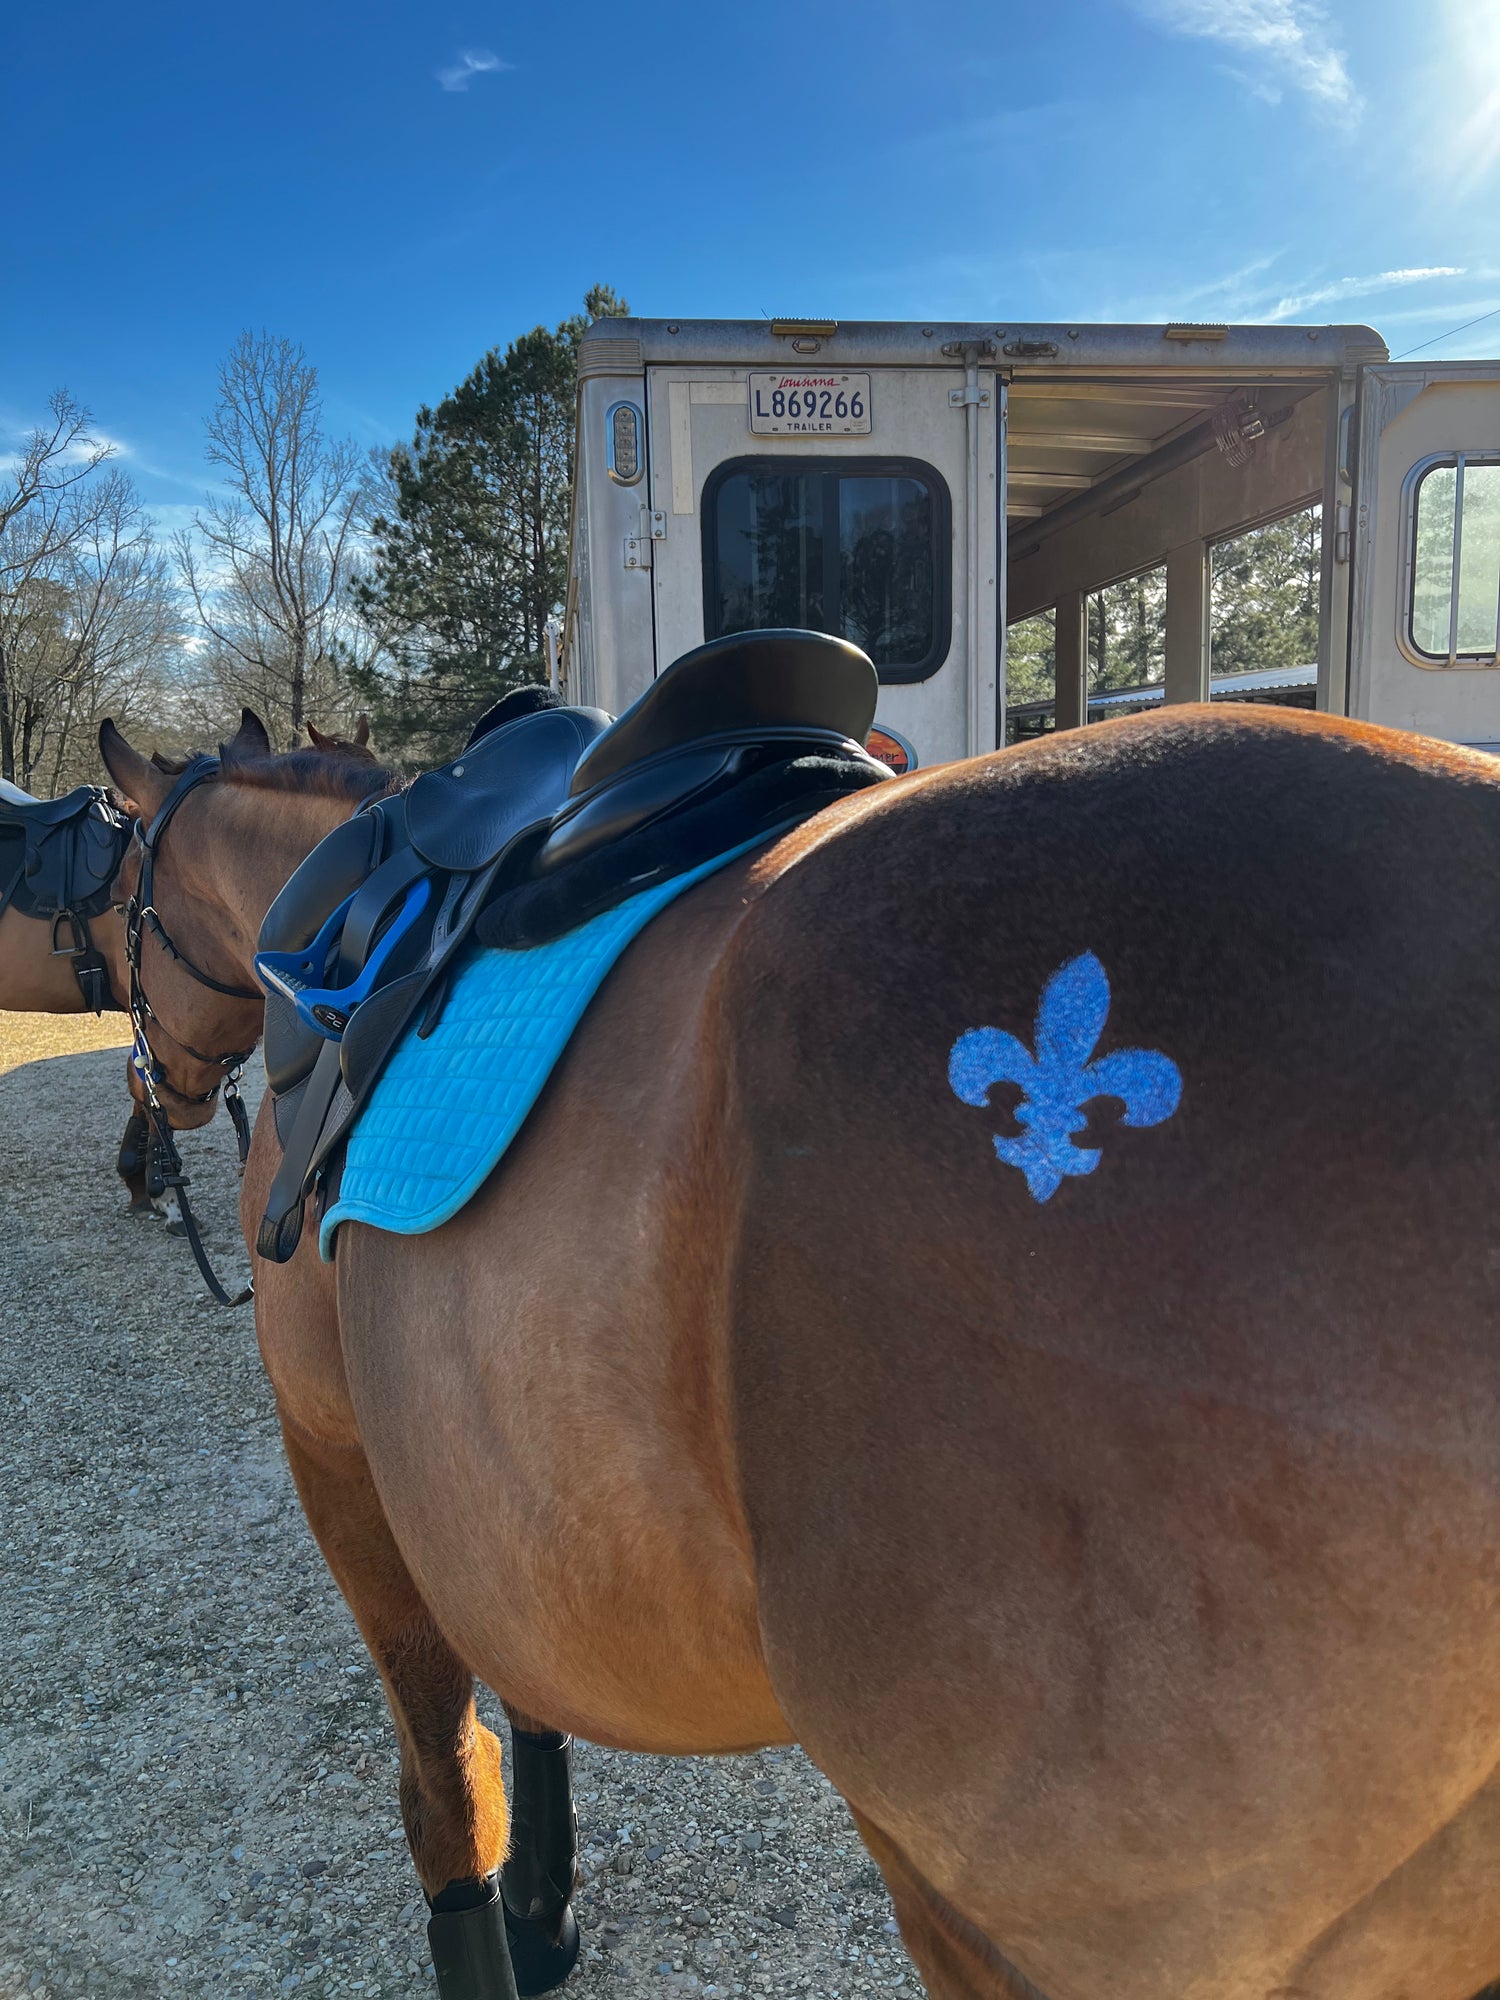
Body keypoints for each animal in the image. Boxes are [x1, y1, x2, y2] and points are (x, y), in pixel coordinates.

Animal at [96, 700, 1500, 2000]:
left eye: (118, 903)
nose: (147, 1128)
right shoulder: (495, 1487)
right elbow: (530, 1698)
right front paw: (549, 1910)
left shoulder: (335, 1447)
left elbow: (449, 1786)